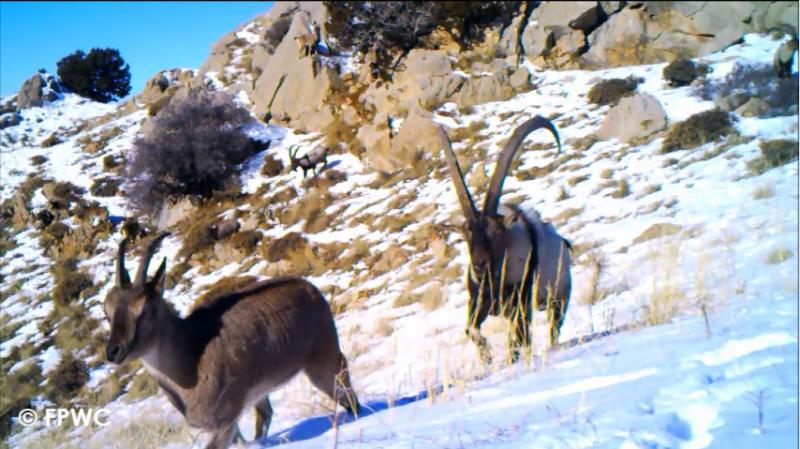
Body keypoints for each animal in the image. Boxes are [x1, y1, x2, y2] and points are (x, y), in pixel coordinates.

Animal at [104, 233, 360, 449]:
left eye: (144, 309)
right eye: (108, 311)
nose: (113, 351)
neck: (191, 358)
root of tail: (310, 288)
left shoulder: (225, 420)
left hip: (323, 360)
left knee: (347, 394)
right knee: (265, 415)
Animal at [438, 116, 572, 363]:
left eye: (495, 232)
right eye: (466, 235)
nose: (479, 264)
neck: (493, 283)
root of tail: (564, 242)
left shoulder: (520, 304)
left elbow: (517, 342)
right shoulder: (478, 304)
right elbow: (471, 329)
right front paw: (487, 357)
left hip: (558, 298)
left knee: (551, 330)